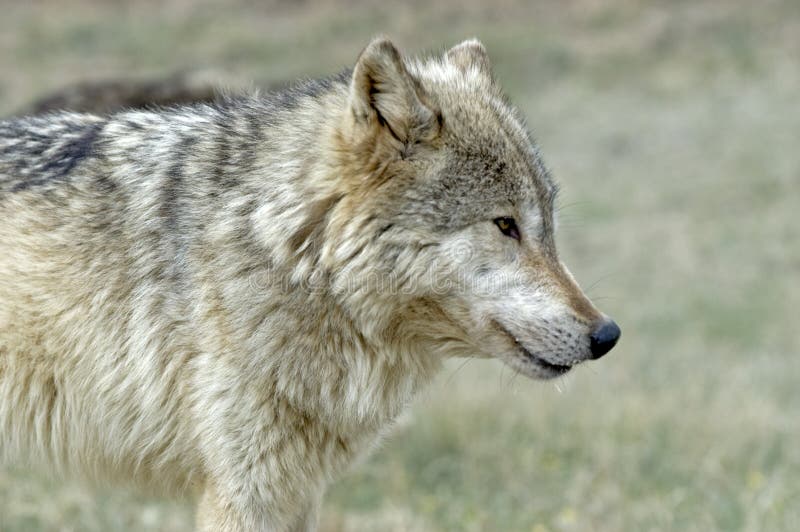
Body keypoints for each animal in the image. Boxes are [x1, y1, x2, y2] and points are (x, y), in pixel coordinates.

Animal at [0, 38, 620, 530]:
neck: (290, 252)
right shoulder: (244, 491)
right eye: (505, 225)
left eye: (547, 227)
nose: (607, 335)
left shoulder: (297, 491)